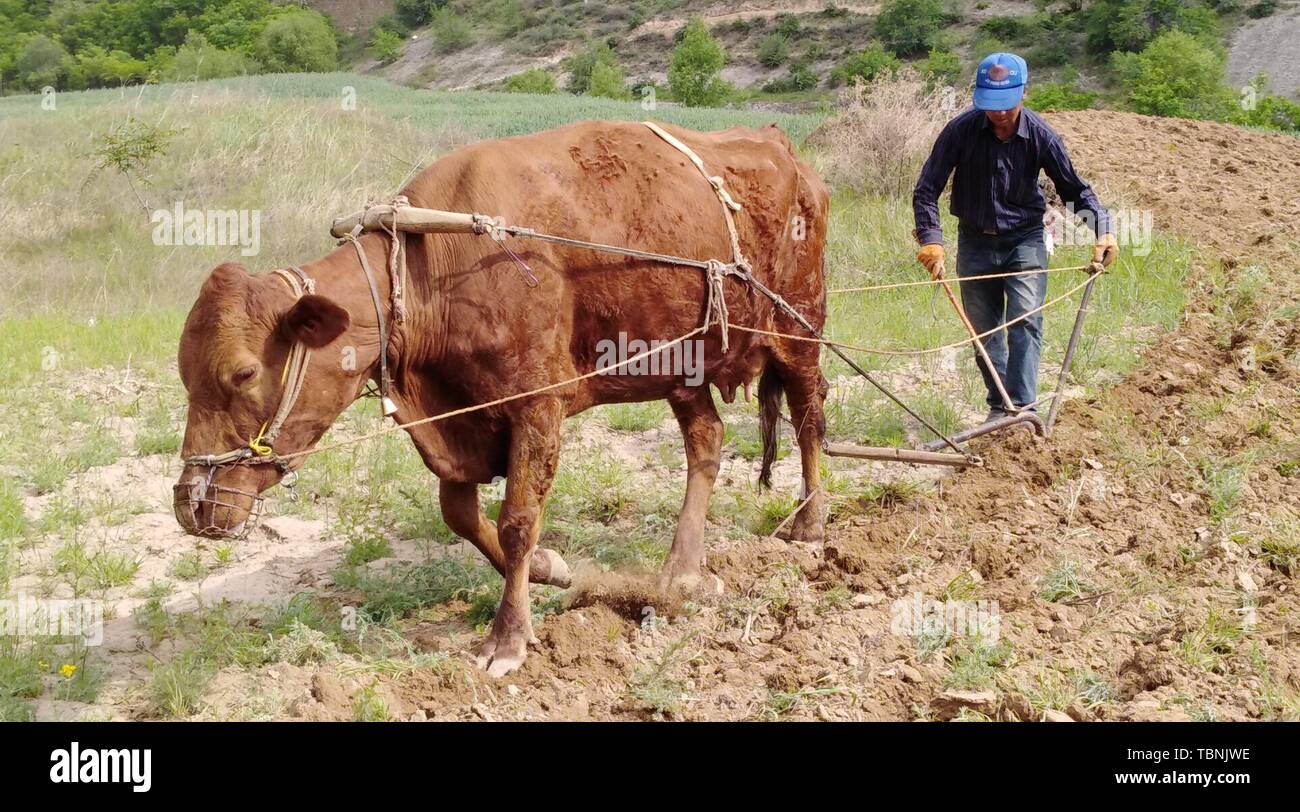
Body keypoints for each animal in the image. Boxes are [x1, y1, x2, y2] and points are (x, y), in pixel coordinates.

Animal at [174, 120, 830, 676]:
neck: (432, 270)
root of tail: (784, 148)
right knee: (707, 443)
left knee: (808, 421)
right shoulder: (461, 417)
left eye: (242, 373)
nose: (190, 505)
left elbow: (517, 520)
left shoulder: (536, 406)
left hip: (800, 331)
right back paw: (682, 571)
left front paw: (507, 639)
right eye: (185, 372)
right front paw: (549, 568)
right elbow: (461, 515)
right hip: (681, 365)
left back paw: (808, 526)